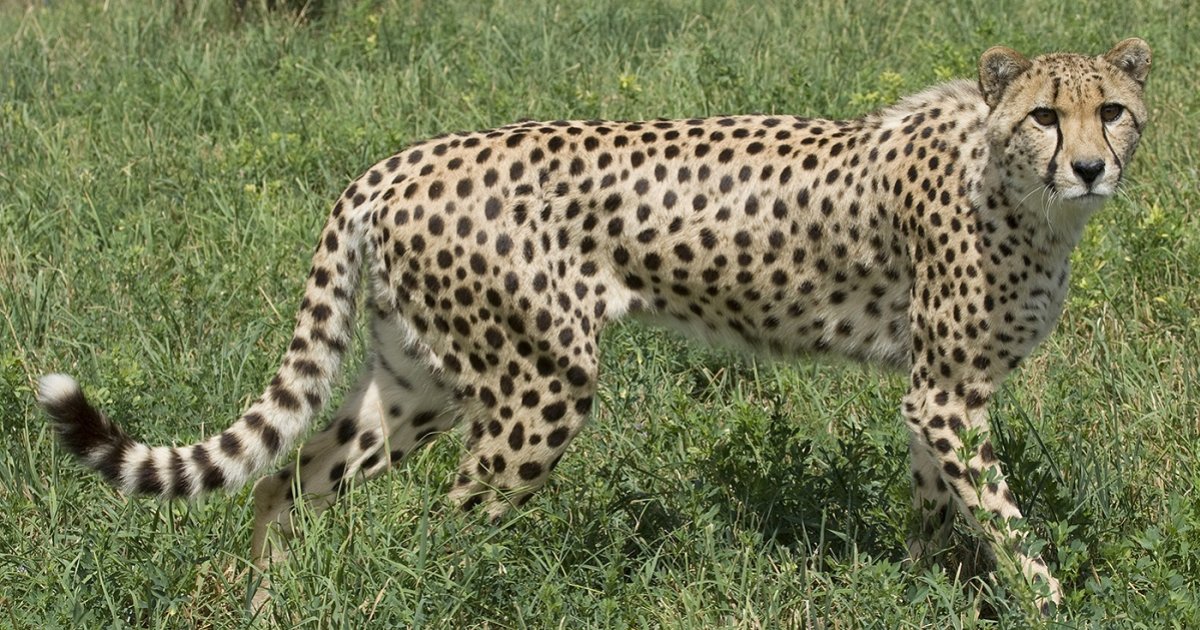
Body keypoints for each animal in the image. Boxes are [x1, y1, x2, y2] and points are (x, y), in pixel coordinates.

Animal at [38, 38, 1151, 614]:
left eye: (1114, 110)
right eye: (1046, 115)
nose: (1094, 166)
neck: (1019, 190)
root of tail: (395, 160)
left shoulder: (934, 396)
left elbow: (939, 510)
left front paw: (924, 590)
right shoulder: (948, 395)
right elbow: (1003, 519)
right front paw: (1054, 601)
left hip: (418, 382)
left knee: (287, 478)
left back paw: (269, 605)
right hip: (540, 385)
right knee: (450, 526)